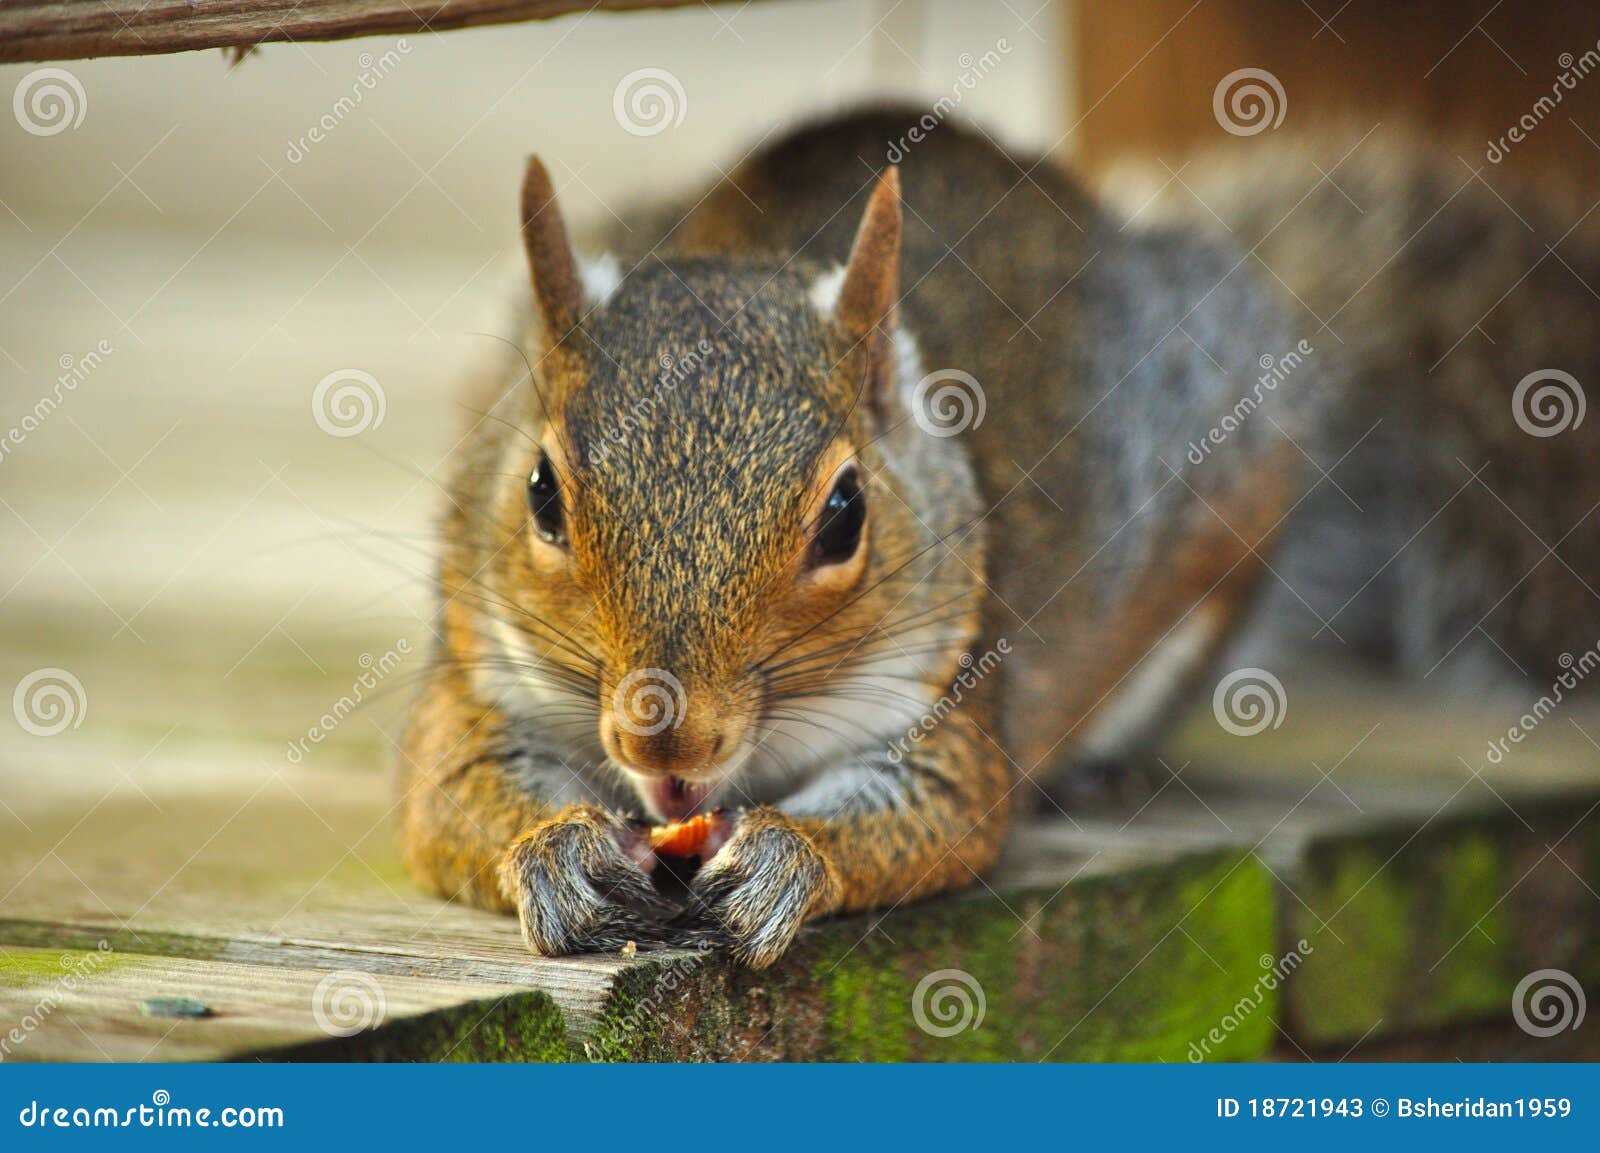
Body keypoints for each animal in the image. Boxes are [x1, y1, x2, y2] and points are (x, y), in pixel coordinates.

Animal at [399, 107, 1600, 967]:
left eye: (846, 515)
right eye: (541, 493)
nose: (663, 741)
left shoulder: (951, 692)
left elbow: (951, 810)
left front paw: (792, 858)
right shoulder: (479, 670)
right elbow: (442, 793)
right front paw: (556, 854)